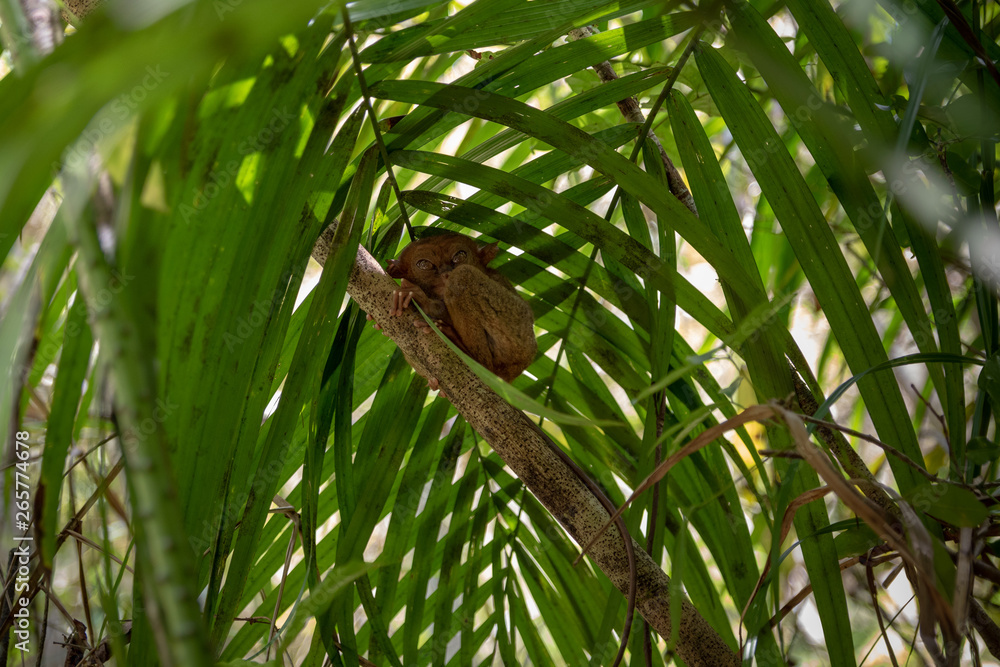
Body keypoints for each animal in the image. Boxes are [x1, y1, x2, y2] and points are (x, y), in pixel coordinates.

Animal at [371, 232, 537, 388]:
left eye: (459, 256)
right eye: (424, 264)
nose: (446, 273)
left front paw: (420, 299)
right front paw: (376, 323)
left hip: (516, 334)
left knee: (462, 275)